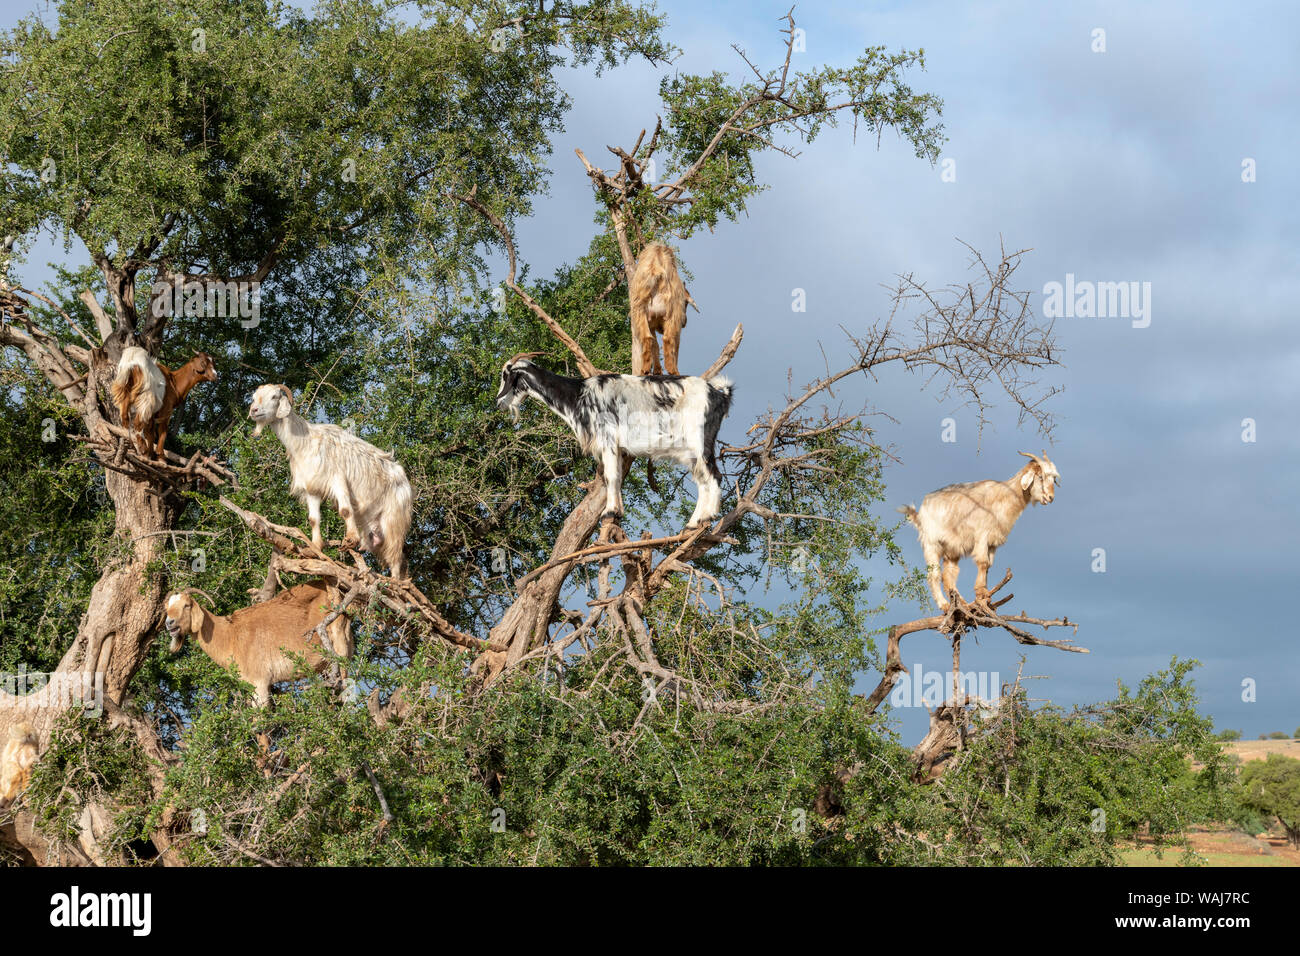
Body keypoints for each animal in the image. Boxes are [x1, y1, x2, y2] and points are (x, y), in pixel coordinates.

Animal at [163, 582, 352, 708]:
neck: (230, 635)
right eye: (167, 608)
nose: (169, 623)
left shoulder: (259, 682)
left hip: (339, 647)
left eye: (186, 605)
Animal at [248, 384, 413, 578]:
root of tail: (404, 480)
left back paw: (394, 581)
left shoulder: (337, 479)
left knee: (396, 557)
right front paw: (315, 547)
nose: (253, 410)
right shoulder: (312, 489)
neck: (305, 442)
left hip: (394, 519)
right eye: (254, 397)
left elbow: (345, 510)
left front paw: (350, 540)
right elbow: (313, 519)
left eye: (274, 396)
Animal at [494, 354, 733, 528]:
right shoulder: (617, 447)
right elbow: (616, 477)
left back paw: (708, 516)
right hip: (691, 452)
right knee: (702, 480)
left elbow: (610, 476)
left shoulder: (607, 439)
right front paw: (617, 512)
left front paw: (609, 511)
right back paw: (693, 523)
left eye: (506, 375)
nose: (498, 403)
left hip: (700, 441)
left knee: (714, 476)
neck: (578, 395)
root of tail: (720, 395)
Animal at [629, 242, 688, 376]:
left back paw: (645, 370)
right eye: (686, 304)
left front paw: (656, 370)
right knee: (668, 339)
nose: (684, 322)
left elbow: (654, 344)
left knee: (647, 338)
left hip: (640, 312)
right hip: (673, 313)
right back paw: (673, 371)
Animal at [899, 451, 1062, 610]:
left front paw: (985, 594)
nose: (1050, 497)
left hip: (952, 548)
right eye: (1040, 477)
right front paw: (980, 593)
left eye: (1053, 479)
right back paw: (944, 605)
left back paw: (961, 603)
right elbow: (982, 562)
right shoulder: (982, 535)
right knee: (934, 574)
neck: (1005, 497)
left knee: (949, 574)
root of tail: (920, 512)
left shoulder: (993, 542)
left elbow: (988, 565)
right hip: (931, 544)